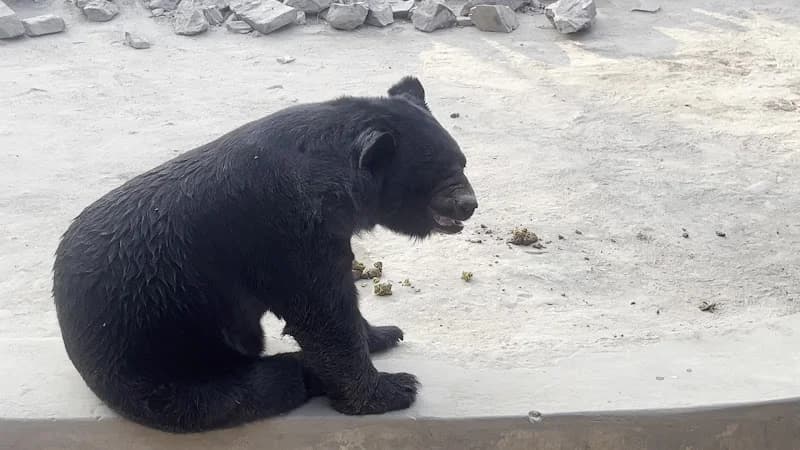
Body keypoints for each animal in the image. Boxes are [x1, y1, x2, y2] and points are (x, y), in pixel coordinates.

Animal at [52, 76, 478, 433]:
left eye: (462, 162)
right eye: (440, 176)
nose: (469, 204)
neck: (332, 183)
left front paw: (385, 333)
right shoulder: (285, 231)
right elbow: (322, 312)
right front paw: (395, 388)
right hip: (163, 367)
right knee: (260, 386)